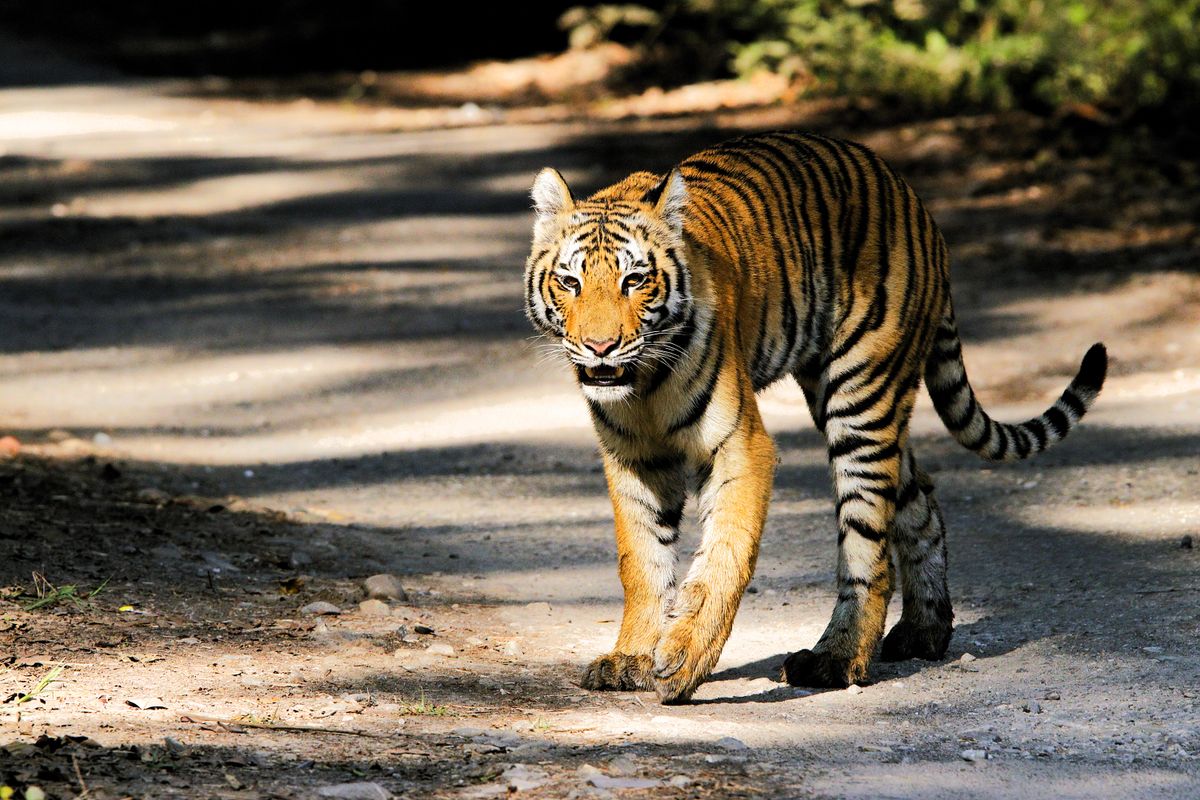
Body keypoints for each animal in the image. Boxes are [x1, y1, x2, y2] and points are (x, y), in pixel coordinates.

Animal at [523, 131, 1106, 704]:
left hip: (862, 398)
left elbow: (724, 556)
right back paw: (925, 631)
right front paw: (632, 658)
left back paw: (837, 658)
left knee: (868, 549)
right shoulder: (633, 456)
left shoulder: (739, 446)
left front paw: (685, 660)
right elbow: (642, 560)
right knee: (918, 497)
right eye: (571, 283)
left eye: (635, 281)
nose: (600, 347)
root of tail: (911, 196)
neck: (642, 383)